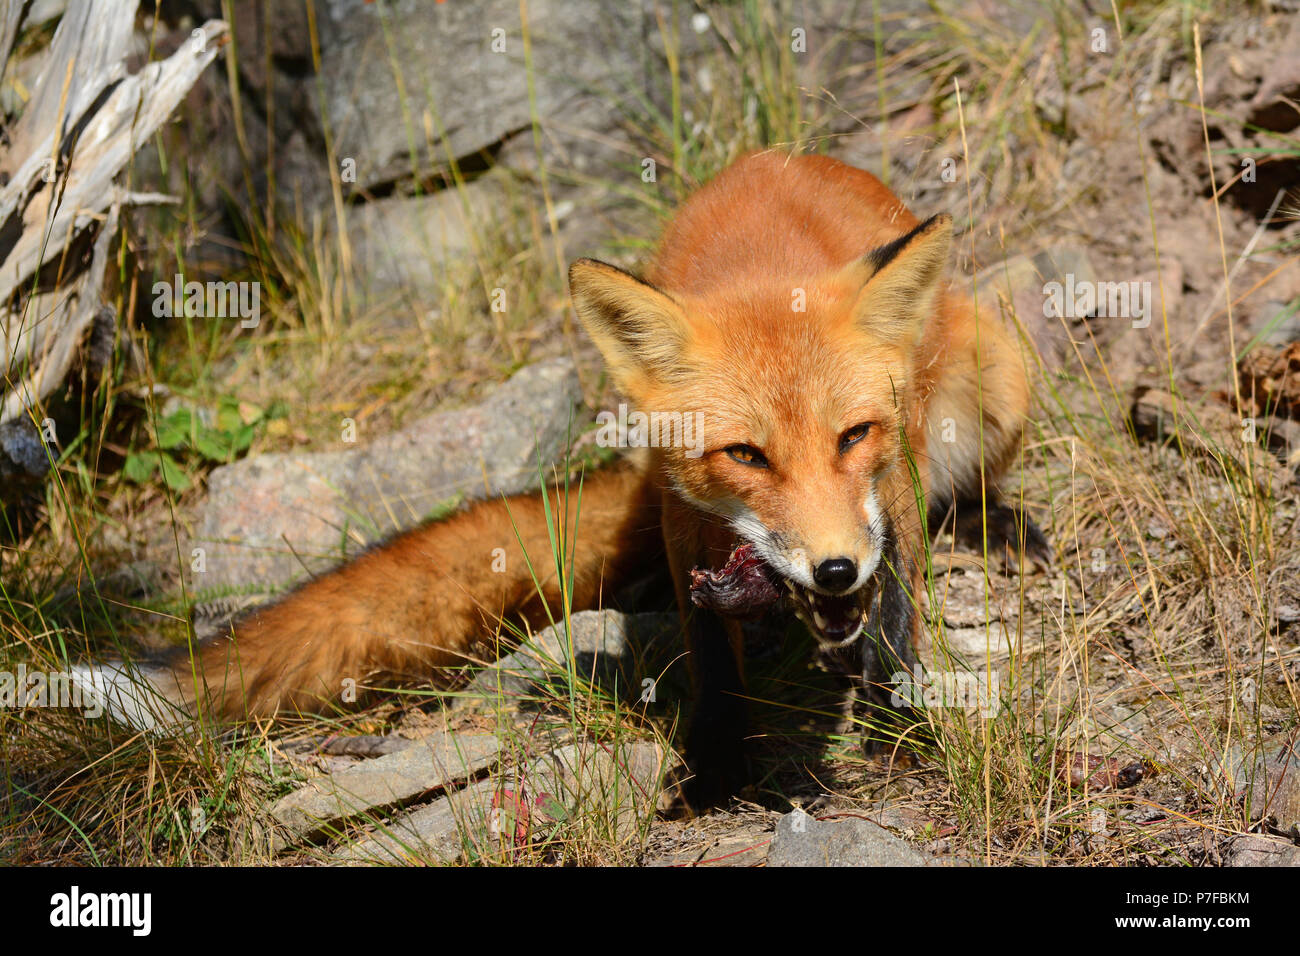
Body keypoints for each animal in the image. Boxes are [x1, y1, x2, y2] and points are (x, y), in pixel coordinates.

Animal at [80, 150, 1043, 807]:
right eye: (746, 456)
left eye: (852, 435)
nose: (835, 570)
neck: (766, 259)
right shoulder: (686, 510)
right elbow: (710, 654)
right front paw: (719, 767)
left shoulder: (895, 474)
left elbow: (900, 615)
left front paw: (899, 721)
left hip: (1002, 377)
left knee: (964, 498)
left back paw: (998, 529)